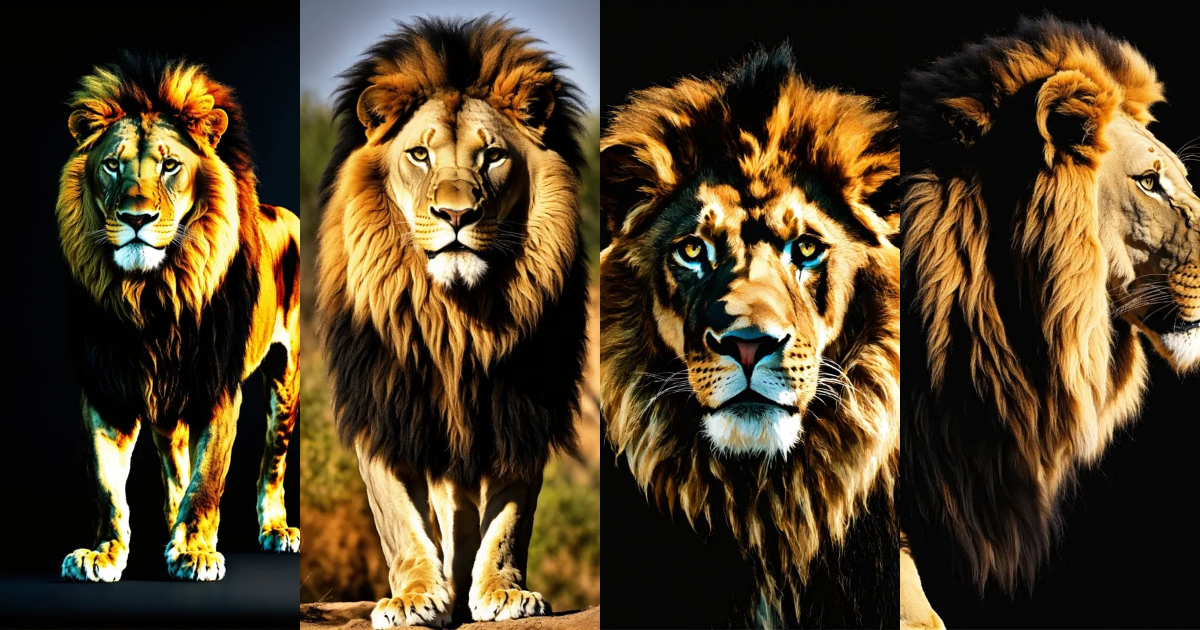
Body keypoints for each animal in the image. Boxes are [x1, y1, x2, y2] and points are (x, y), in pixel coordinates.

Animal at [56, 55, 301, 582]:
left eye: (170, 166)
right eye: (112, 164)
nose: (137, 218)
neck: (152, 295)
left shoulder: (218, 389)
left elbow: (208, 477)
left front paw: (195, 552)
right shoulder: (106, 389)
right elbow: (107, 486)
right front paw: (103, 552)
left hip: (285, 375)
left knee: (273, 461)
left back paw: (276, 529)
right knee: (175, 467)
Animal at [314, 17, 588, 628]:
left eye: (493, 157)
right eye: (419, 154)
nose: (457, 214)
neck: (455, 320)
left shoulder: (522, 407)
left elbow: (509, 518)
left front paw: (504, 590)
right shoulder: (384, 404)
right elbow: (399, 517)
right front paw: (415, 594)